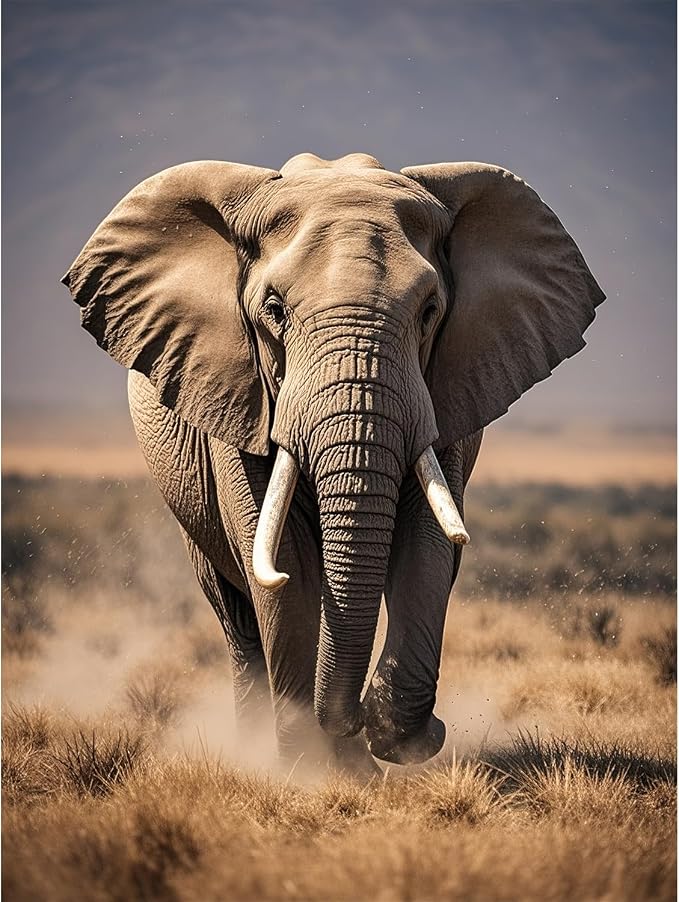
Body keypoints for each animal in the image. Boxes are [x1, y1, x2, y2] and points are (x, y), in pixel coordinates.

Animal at [62, 152, 604, 775]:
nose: (353, 720)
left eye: (430, 311)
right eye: (273, 310)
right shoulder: (236, 392)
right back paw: (262, 747)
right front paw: (312, 770)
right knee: (235, 613)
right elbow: (280, 558)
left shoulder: (448, 391)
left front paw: (394, 739)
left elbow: (428, 543)